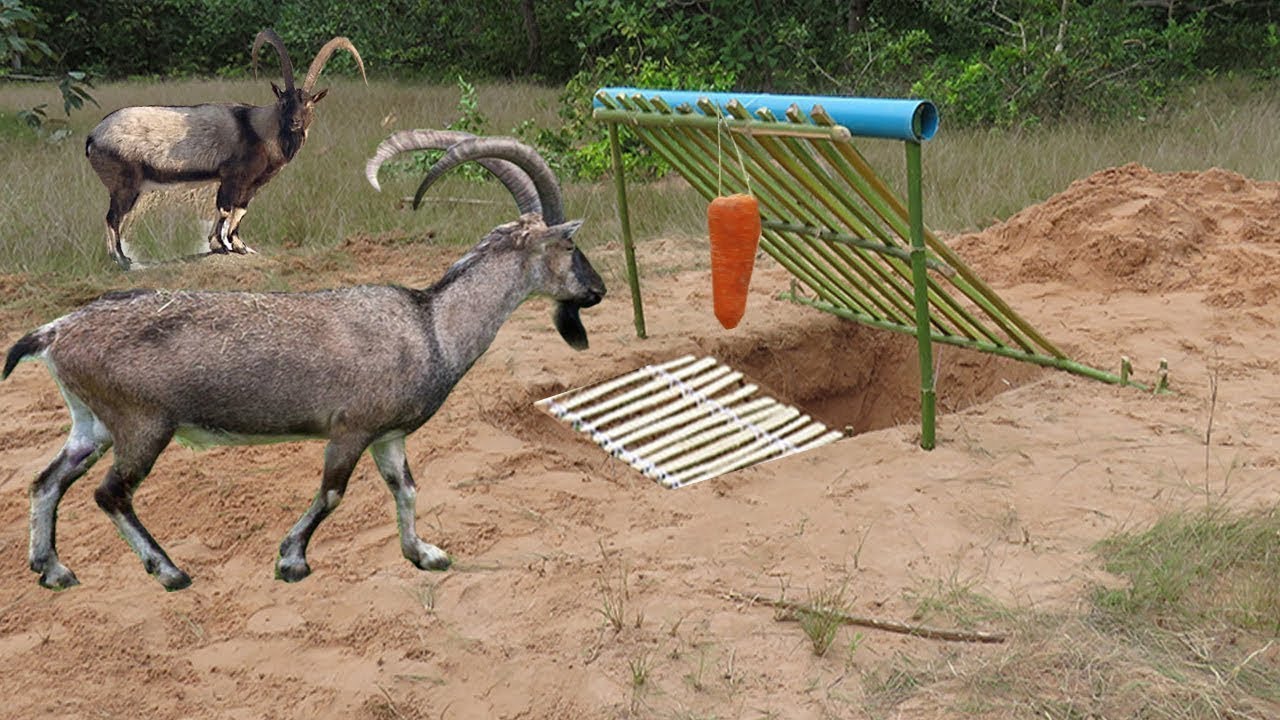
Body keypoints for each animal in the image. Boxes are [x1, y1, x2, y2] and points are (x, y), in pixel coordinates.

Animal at [5, 137, 605, 591]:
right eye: (568, 245)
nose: (597, 290)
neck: (430, 326)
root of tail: (55, 332)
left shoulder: (388, 436)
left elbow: (405, 488)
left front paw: (425, 554)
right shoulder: (351, 430)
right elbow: (334, 494)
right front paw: (292, 560)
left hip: (93, 423)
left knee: (47, 482)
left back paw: (53, 569)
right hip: (142, 425)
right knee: (110, 493)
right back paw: (169, 571)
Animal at [85, 29, 365, 270]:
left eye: (308, 104)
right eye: (284, 101)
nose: (295, 122)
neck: (259, 129)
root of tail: (93, 136)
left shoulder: (251, 184)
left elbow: (240, 210)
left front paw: (239, 246)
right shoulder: (232, 176)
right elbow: (225, 208)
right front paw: (220, 246)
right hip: (125, 185)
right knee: (113, 217)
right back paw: (122, 260)